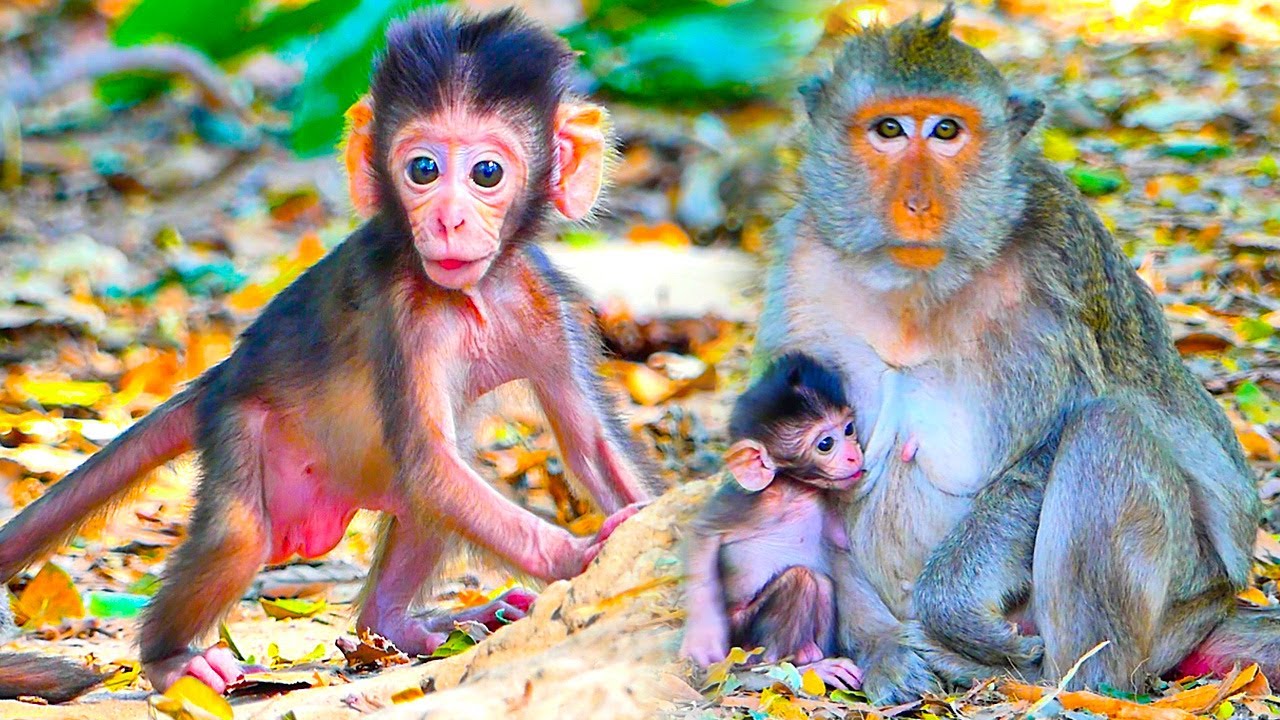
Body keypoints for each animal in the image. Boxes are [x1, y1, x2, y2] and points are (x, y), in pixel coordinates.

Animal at [0, 8, 656, 698]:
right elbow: (431, 465)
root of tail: (222, 376)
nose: (448, 220)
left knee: (426, 504)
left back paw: (401, 625)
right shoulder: (403, 316)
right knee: (243, 535)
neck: (473, 293)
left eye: (487, 173)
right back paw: (171, 659)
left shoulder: (544, 302)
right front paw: (579, 555)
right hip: (238, 422)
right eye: (423, 170)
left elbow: (585, 445)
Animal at [680, 353, 865, 690]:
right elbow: (701, 536)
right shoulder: (751, 504)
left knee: (820, 583)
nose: (853, 456)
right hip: (742, 640)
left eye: (849, 429)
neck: (793, 489)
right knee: (801, 580)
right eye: (825, 444)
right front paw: (703, 635)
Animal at [756, 8, 1265, 703]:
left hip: (1181, 605)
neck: (920, 287)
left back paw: (1068, 684)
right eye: (889, 130)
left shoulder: (1056, 265)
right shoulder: (803, 265)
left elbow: (1050, 441)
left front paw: (950, 606)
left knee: (1105, 429)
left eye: (946, 131)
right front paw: (887, 654)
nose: (918, 204)